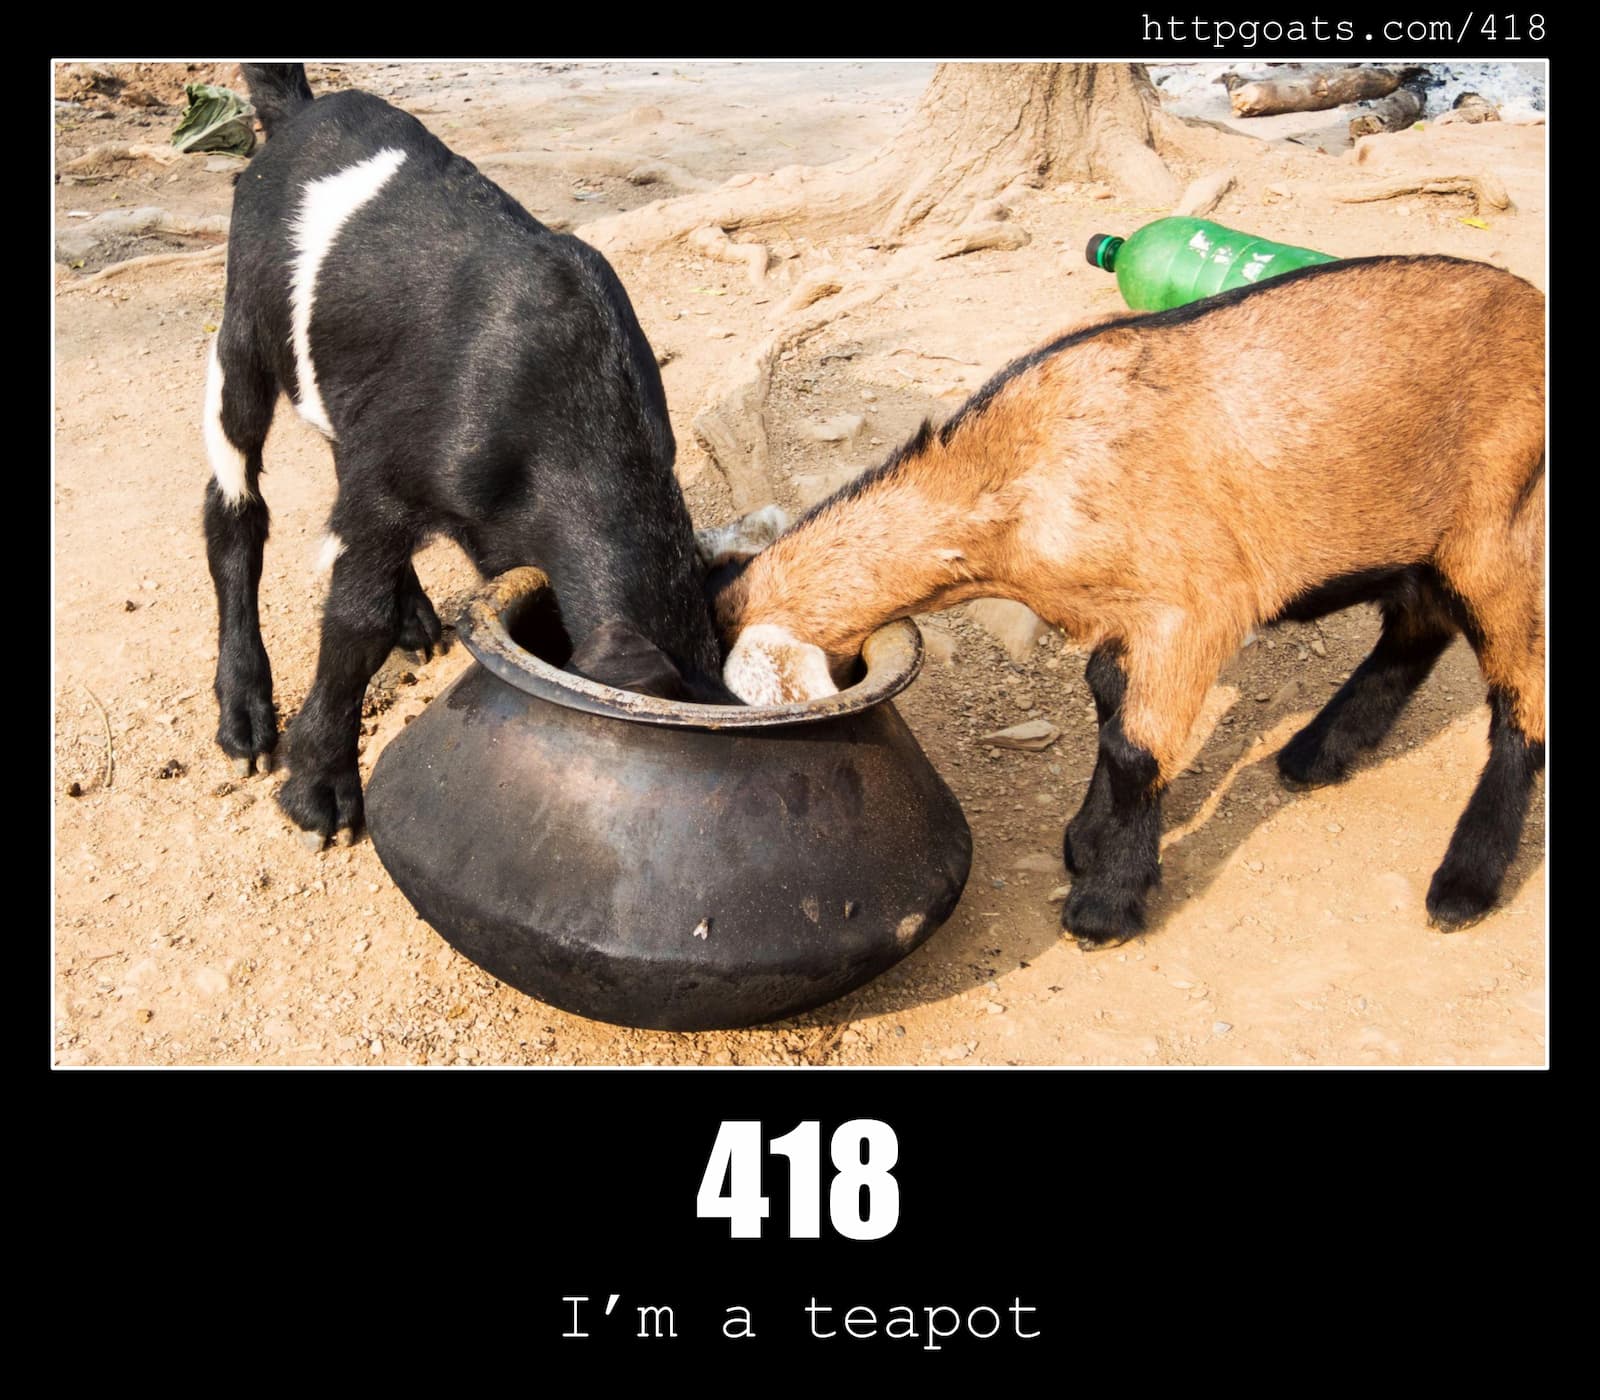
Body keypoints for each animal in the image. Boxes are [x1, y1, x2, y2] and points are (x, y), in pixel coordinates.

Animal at [204, 64, 727, 850]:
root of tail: (294, 113)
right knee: (234, 505)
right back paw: (244, 714)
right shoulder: (387, 488)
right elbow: (352, 620)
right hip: (242, 337)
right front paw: (318, 790)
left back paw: (414, 618)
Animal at [713, 256, 1545, 945]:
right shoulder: (1119, 614)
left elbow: (1136, 746)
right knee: (1420, 621)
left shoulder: (1199, 606)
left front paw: (1107, 903)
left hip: (1501, 523)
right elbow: (1108, 699)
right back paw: (1318, 752)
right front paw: (1087, 841)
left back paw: (1464, 883)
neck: (1019, 473)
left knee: (1520, 687)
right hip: (1431, 538)